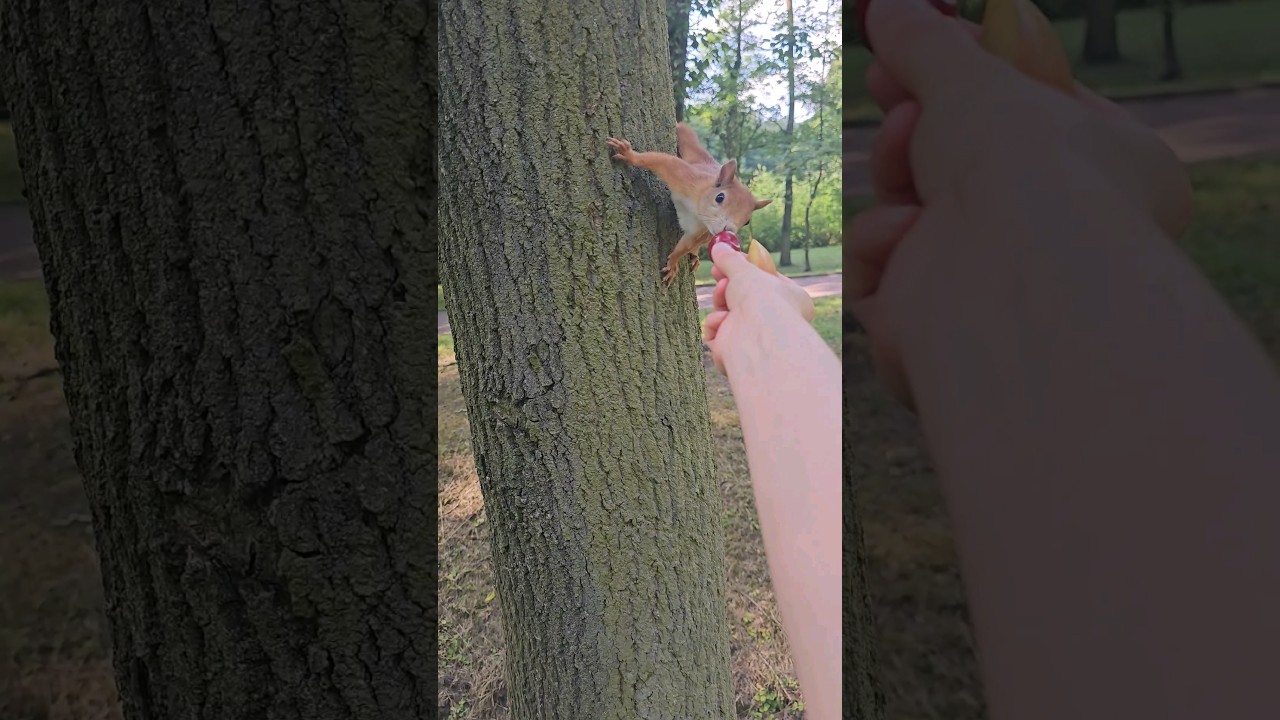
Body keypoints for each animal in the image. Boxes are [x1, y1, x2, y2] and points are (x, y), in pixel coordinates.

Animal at [607, 123, 772, 286]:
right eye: (720, 197)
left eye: (747, 221)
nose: (729, 229)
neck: (696, 209)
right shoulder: (687, 177)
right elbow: (663, 161)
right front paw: (630, 155)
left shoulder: (698, 230)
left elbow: (686, 244)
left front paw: (673, 262)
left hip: (706, 235)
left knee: (696, 244)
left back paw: (695, 253)